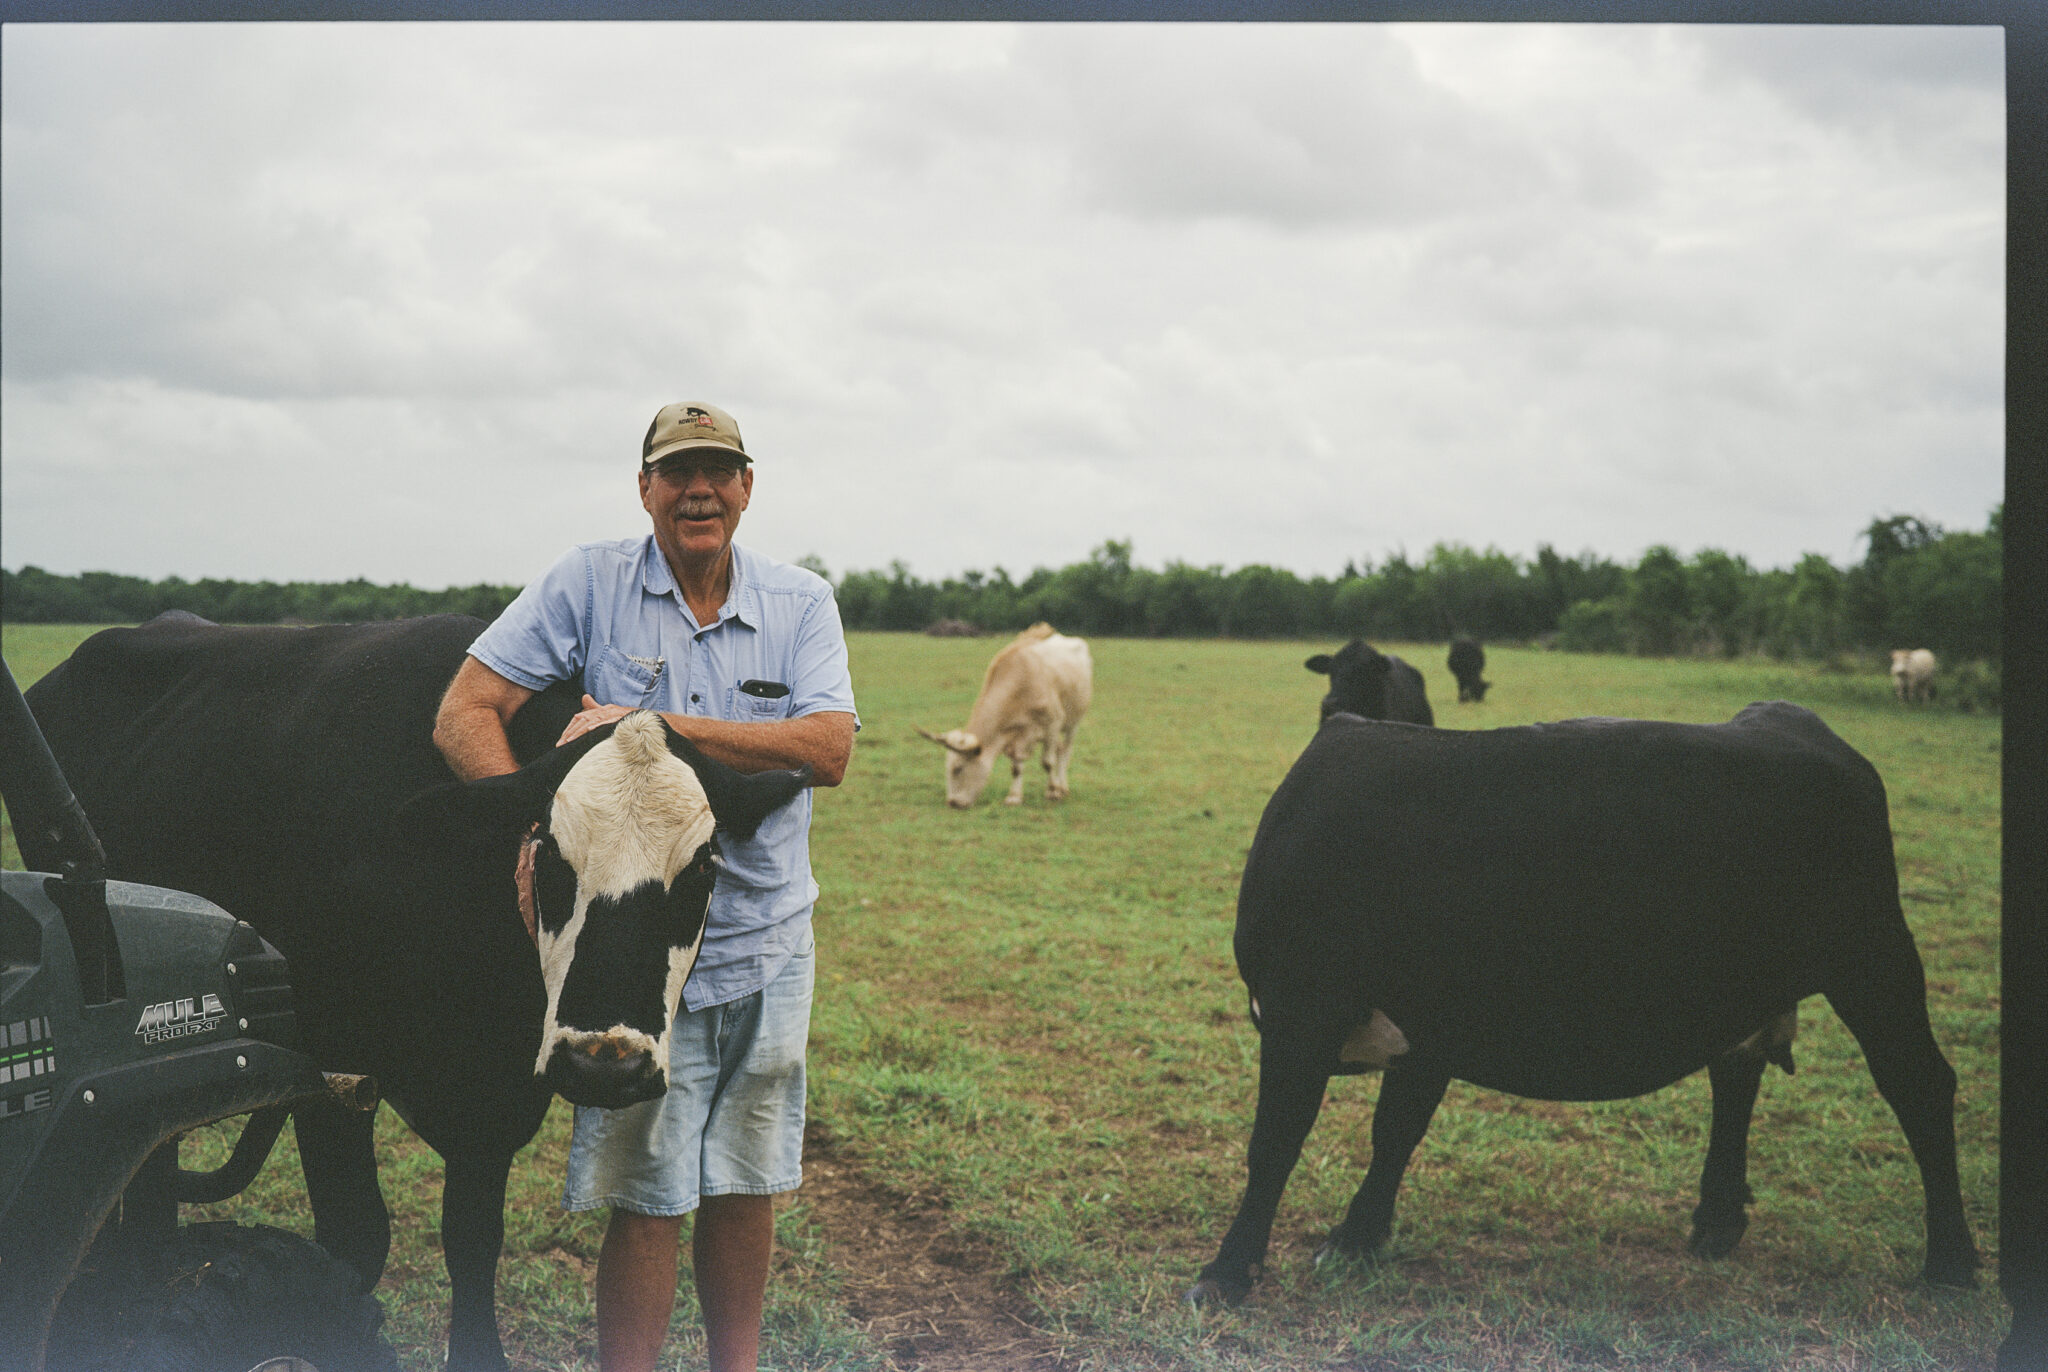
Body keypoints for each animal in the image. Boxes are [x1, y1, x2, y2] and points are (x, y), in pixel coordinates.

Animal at [20, 613, 812, 1372]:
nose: (603, 1061)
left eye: (704, 868)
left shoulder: (493, 1098)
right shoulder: (326, 1070)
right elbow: (355, 1240)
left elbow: (473, 1238)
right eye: (550, 856)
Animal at [918, 622, 1092, 808]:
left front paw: (1052, 792)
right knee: (1059, 749)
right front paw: (1014, 797)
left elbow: (1047, 762)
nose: (953, 803)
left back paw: (1062, 787)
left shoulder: (1052, 724)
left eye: (958, 768)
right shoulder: (1018, 734)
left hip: (1073, 723)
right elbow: (1016, 767)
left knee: (1065, 751)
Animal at [1187, 701, 1978, 1308]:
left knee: (1920, 1086)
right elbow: (1394, 1133)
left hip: (1874, 959)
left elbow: (1274, 1144)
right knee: (1737, 1071)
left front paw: (1226, 1273)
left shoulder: (1302, 1006)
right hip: (1755, 981)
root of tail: (1794, 722)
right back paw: (1717, 1221)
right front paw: (1356, 1239)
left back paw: (1951, 1264)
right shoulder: (1430, 1021)